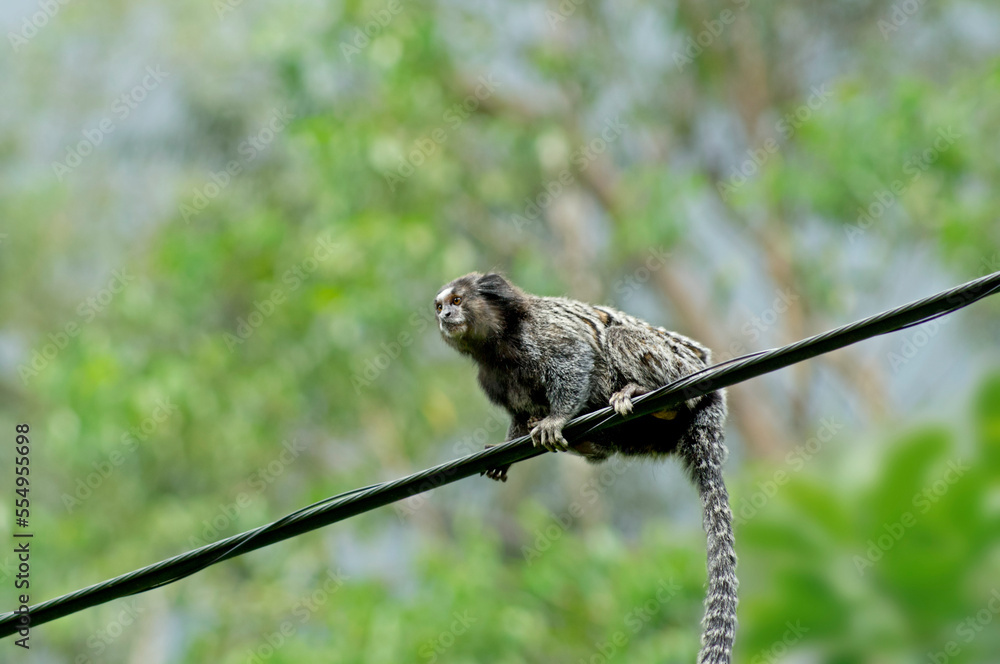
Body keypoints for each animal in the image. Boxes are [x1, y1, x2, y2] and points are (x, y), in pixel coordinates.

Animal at [434, 272, 737, 664]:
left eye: (457, 301)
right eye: (440, 306)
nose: (445, 316)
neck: (500, 344)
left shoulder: (546, 336)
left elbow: (574, 360)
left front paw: (557, 418)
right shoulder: (494, 378)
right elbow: (519, 414)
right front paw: (510, 447)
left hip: (680, 366)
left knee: (622, 336)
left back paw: (643, 393)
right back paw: (590, 444)